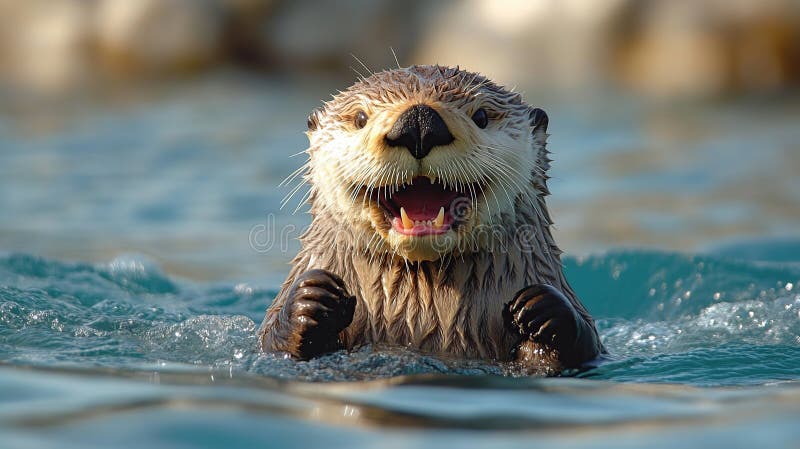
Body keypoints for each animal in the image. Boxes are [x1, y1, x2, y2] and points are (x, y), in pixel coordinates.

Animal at [258, 65, 604, 372]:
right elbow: (270, 342)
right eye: (360, 118)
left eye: (481, 117)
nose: (419, 122)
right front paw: (310, 300)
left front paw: (542, 310)